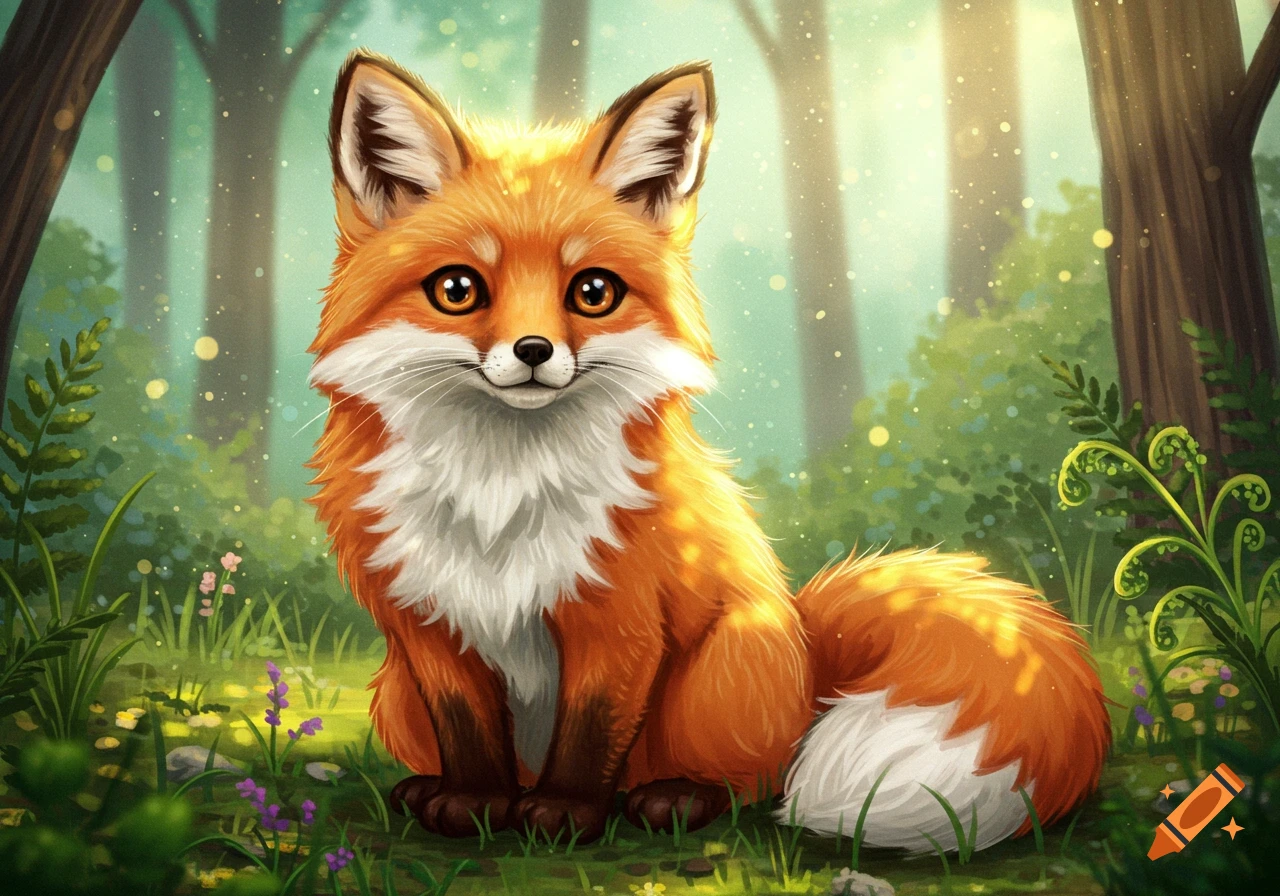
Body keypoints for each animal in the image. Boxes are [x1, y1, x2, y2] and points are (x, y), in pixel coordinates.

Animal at [307, 51, 1111, 851]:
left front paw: (565, 814)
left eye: (592, 292)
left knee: (750, 778)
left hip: (721, 672)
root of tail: (805, 647)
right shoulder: (425, 622)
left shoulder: (623, 618)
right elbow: (467, 728)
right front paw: (473, 803)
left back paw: (676, 798)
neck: (498, 489)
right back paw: (432, 788)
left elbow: (592, 731)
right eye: (457, 288)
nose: (533, 352)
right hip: (394, 694)